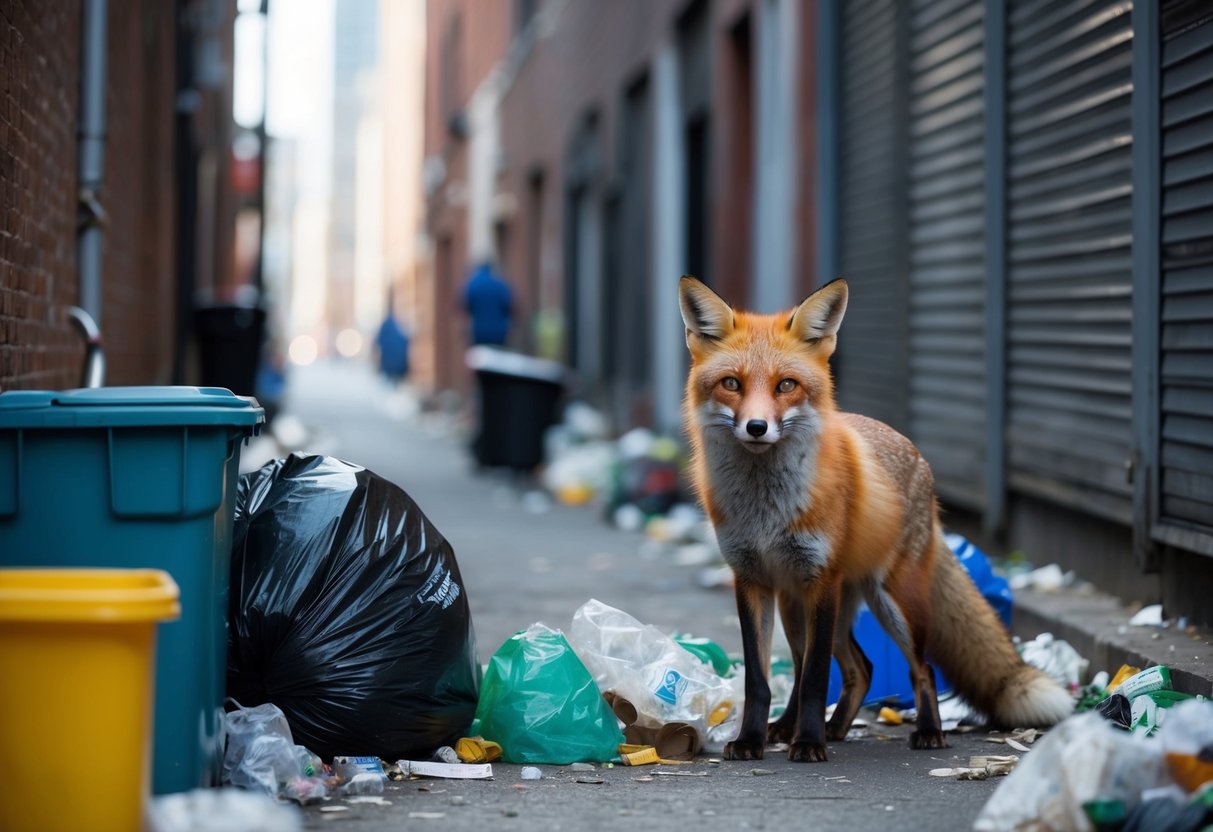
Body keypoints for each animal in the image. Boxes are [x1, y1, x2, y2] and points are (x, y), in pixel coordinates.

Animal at [678, 275, 1073, 762]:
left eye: (786, 384)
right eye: (731, 383)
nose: (756, 427)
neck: (766, 511)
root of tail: (917, 458)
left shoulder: (820, 579)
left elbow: (814, 679)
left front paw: (809, 743)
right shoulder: (751, 578)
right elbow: (761, 679)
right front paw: (752, 739)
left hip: (892, 601)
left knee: (918, 668)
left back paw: (925, 731)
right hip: (799, 604)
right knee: (855, 668)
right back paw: (814, 728)